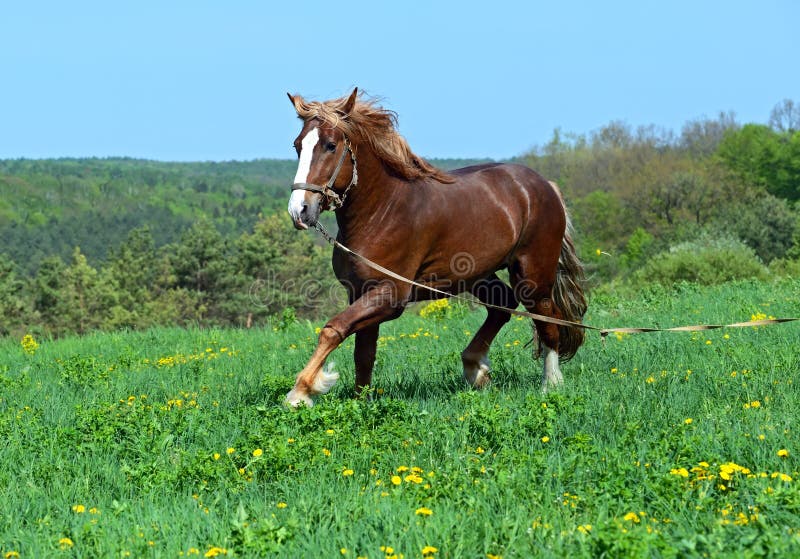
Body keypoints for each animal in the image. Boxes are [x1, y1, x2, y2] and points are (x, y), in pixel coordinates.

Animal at [284, 88, 587, 407]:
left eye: (330, 146)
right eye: (297, 146)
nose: (299, 211)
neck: (381, 210)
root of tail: (545, 186)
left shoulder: (391, 295)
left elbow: (333, 329)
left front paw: (301, 392)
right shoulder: (359, 291)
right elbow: (363, 355)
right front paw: (361, 402)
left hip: (532, 273)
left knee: (547, 321)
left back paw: (550, 385)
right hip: (475, 274)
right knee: (503, 304)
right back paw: (475, 368)